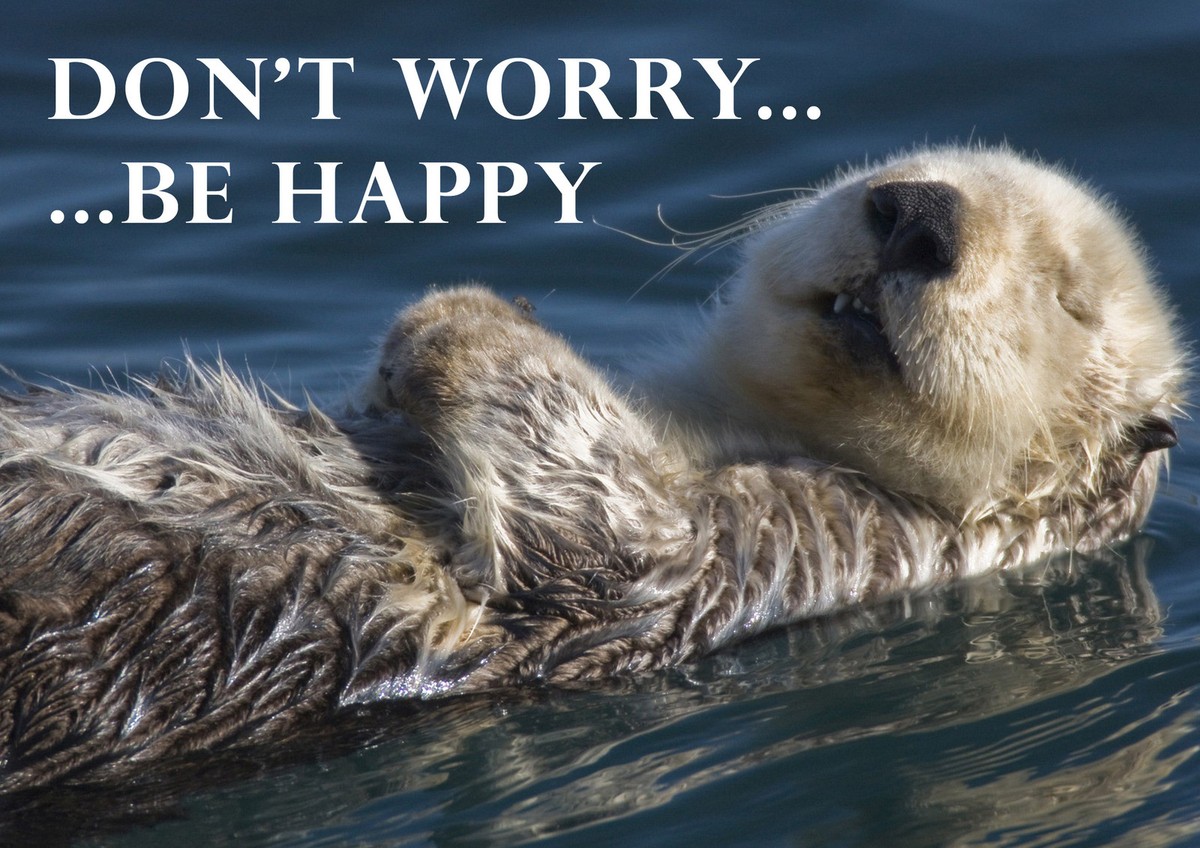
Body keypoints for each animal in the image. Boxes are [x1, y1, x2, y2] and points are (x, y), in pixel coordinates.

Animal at [0, 146, 1183, 791]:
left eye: (1070, 298)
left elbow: (608, 530)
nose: (920, 213)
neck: (723, 419)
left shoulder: (803, 542)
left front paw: (459, 315)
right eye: (901, 174)